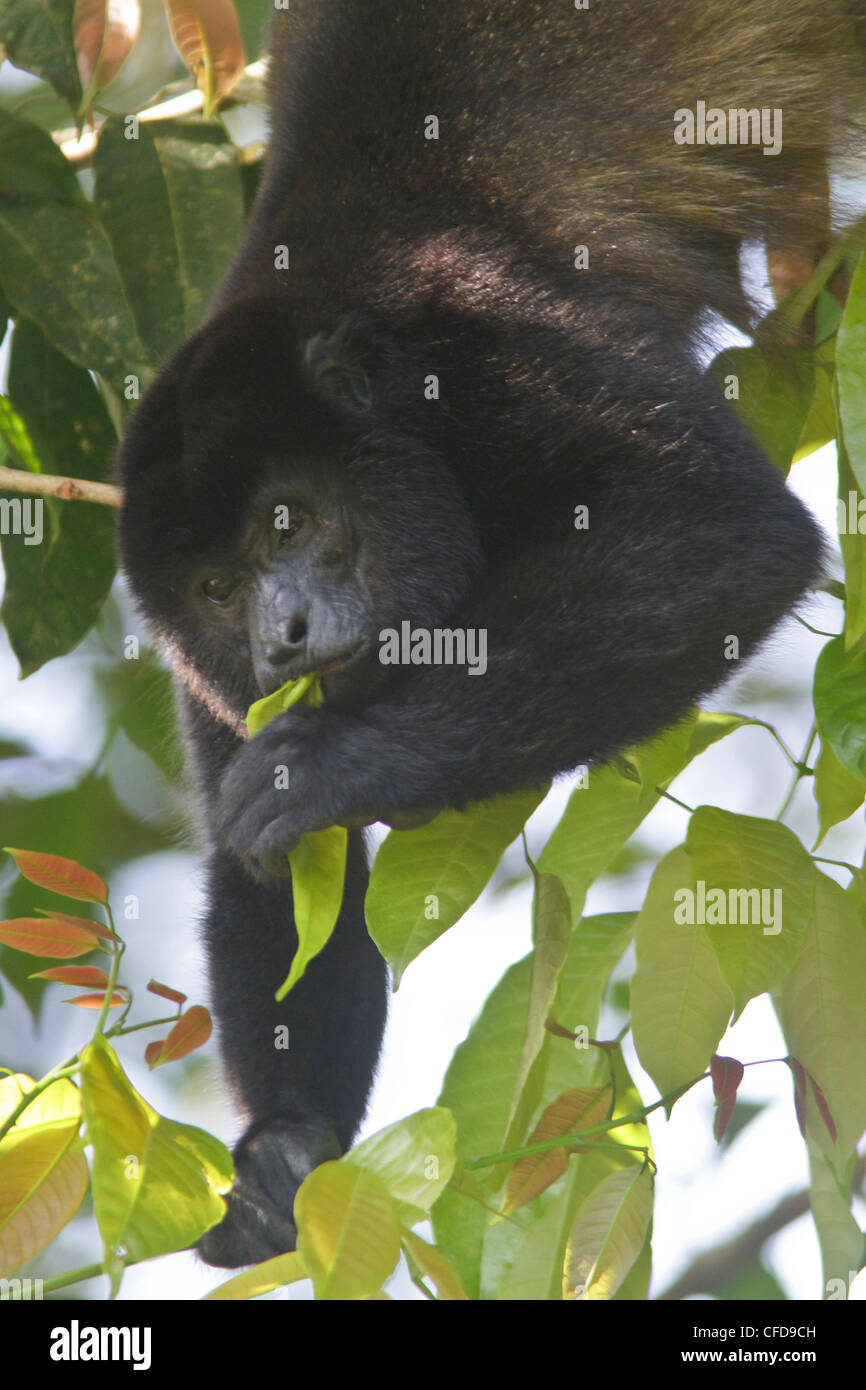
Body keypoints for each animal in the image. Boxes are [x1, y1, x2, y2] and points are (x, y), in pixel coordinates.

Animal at [117, 1, 864, 1266]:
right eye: (218, 587)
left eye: (289, 521)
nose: (282, 636)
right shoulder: (198, 665)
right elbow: (258, 860)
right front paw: (286, 1147)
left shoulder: (486, 348)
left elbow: (730, 538)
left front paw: (337, 765)